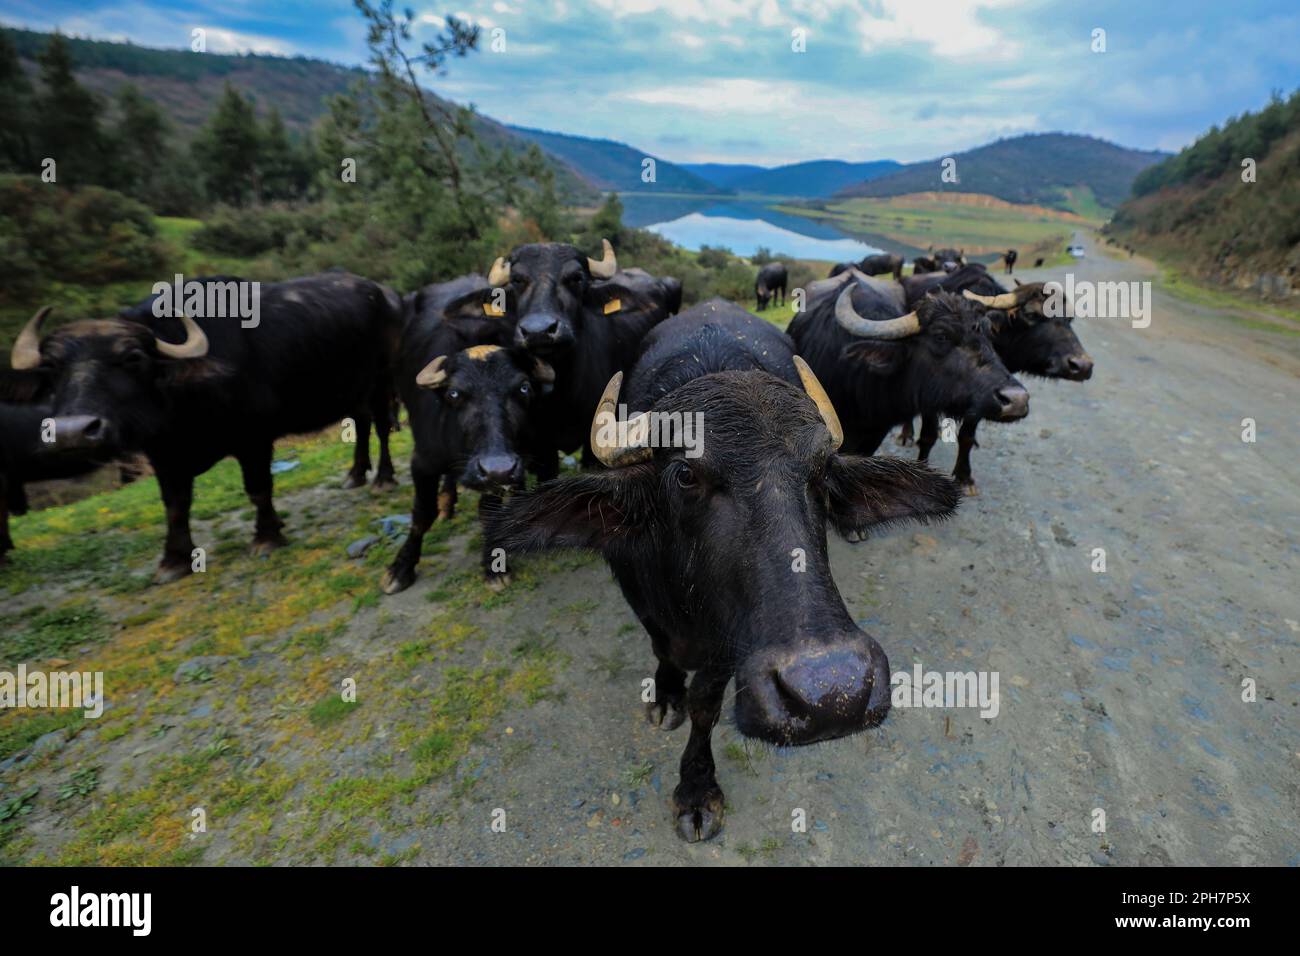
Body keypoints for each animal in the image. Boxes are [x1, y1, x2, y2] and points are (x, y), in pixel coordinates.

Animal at [3, 273, 403, 583]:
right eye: (51, 368)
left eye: (133, 358)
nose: (73, 431)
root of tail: (383, 293)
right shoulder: (163, 455)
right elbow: (176, 505)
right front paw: (174, 559)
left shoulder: (254, 438)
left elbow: (258, 489)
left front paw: (267, 537)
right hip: (353, 389)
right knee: (362, 424)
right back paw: (354, 475)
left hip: (382, 380)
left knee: (382, 426)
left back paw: (383, 479)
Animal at [380, 275, 556, 594]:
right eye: (454, 393)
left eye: (523, 388)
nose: (499, 469)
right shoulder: (421, 462)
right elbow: (421, 515)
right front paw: (400, 568)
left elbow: (488, 512)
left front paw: (493, 565)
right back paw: (446, 502)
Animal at [486, 298, 960, 840]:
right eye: (685, 475)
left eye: (822, 470)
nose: (833, 693)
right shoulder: (640, 599)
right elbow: (662, 650)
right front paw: (666, 693)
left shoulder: (727, 645)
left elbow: (706, 704)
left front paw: (696, 790)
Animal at [898, 266, 1093, 493]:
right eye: (1031, 315)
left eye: (1070, 319)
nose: (1082, 366)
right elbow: (928, 436)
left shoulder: (984, 397)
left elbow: (966, 437)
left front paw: (964, 476)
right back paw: (906, 434)